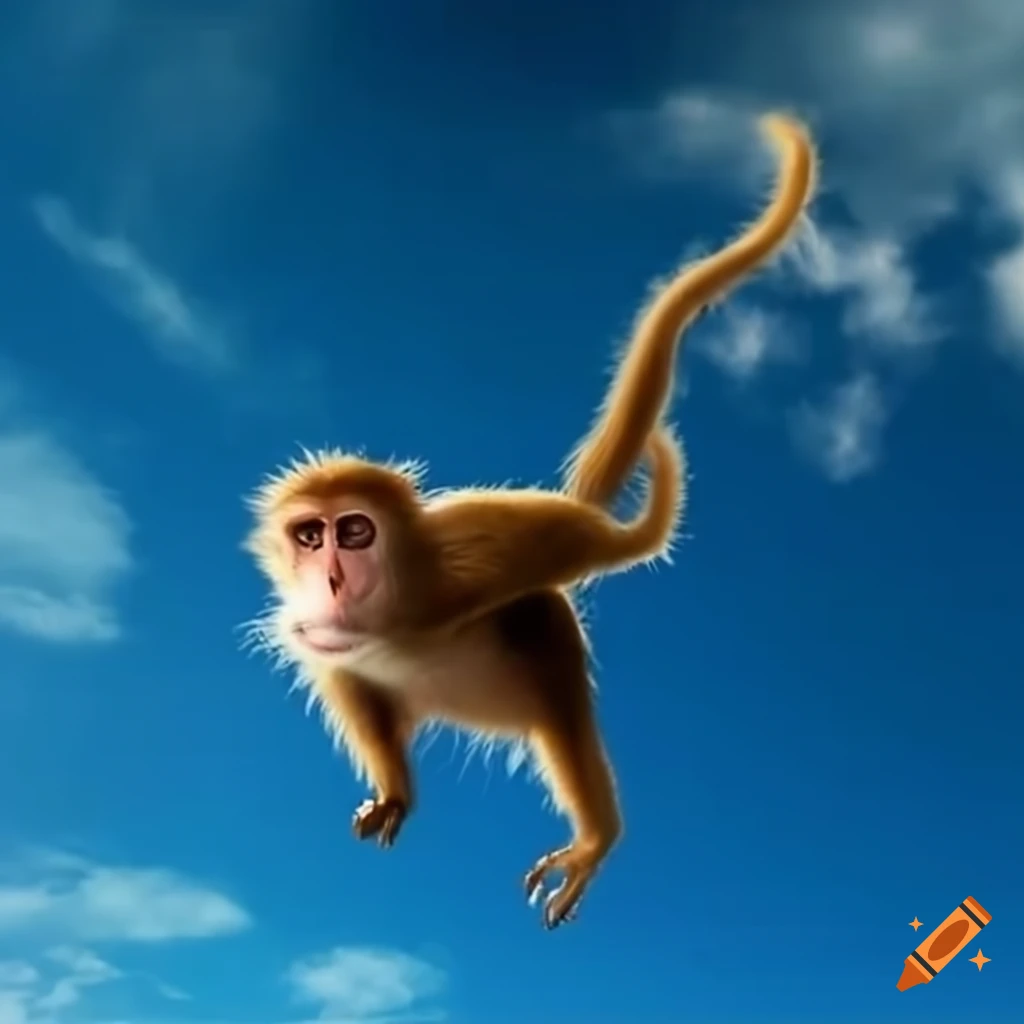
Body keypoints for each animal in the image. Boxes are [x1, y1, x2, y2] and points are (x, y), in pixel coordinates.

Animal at [242, 112, 817, 930]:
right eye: (308, 535)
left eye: (354, 532)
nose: (330, 577)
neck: (393, 614)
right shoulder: (318, 637)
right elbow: (352, 688)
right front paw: (397, 791)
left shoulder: (474, 570)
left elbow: (616, 542)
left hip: (542, 645)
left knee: (563, 709)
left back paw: (597, 837)